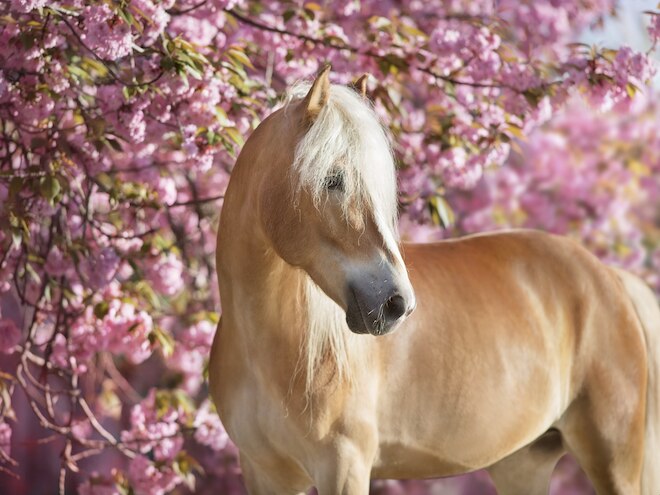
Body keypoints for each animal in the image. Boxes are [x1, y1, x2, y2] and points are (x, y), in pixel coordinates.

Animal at [209, 66, 660, 495]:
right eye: (332, 180)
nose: (396, 304)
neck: (268, 348)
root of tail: (609, 277)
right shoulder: (264, 474)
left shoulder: (344, 466)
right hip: (524, 465)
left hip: (614, 458)